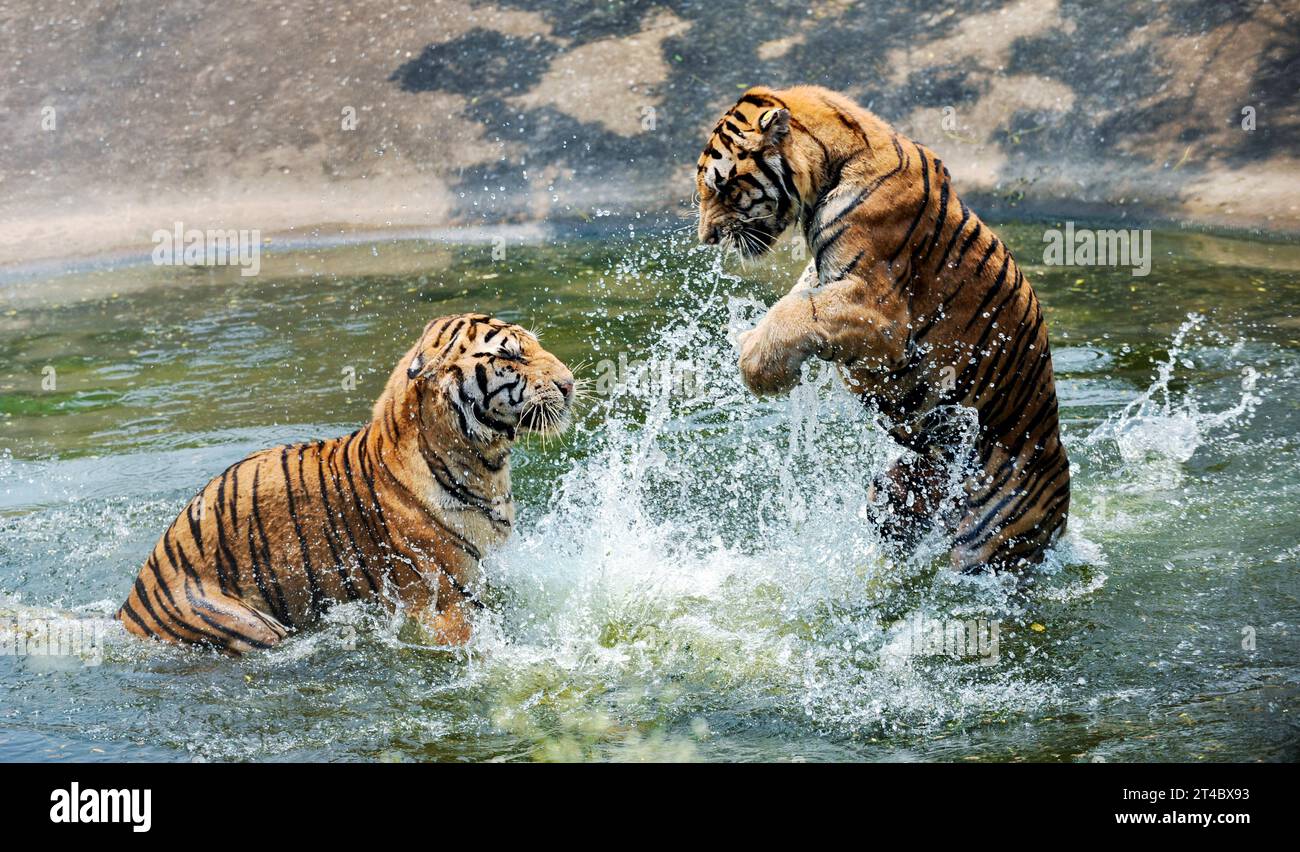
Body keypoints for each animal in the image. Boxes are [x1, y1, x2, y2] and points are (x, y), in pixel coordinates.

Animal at [116, 313, 576, 653]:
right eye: (512, 357)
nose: (570, 384)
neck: (484, 466)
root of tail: (129, 605)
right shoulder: (447, 604)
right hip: (245, 623)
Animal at [696, 85, 1070, 572]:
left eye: (722, 187)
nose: (705, 238)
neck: (830, 167)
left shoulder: (880, 311)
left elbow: (799, 312)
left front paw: (759, 366)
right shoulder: (827, 276)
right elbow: (796, 297)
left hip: (989, 543)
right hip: (897, 495)